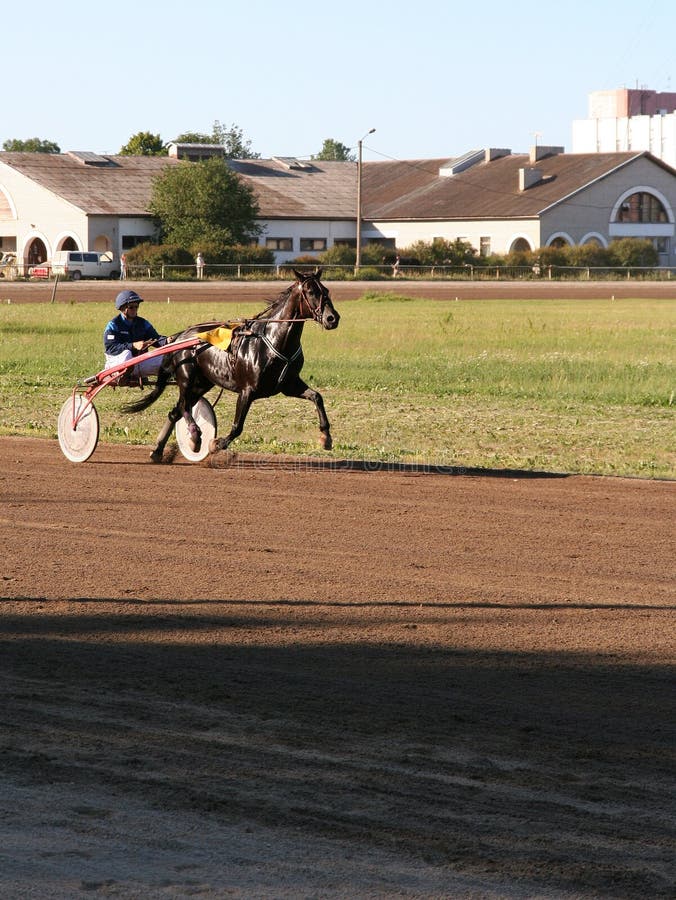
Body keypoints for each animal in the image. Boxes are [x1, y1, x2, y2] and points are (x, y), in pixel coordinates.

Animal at [122, 269, 340, 463]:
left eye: (326, 290)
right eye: (311, 291)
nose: (332, 318)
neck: (273, 341)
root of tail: (181, 336)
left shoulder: (288, 384)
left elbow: (317, 397)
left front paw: (326, 437)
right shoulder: (247, 391)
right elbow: (237, 426)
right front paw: (216, 444)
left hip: (202, 382)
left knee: (175, 411)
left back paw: (158, 451)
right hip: (186, 376)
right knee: (183, 406)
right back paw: (195, 437)